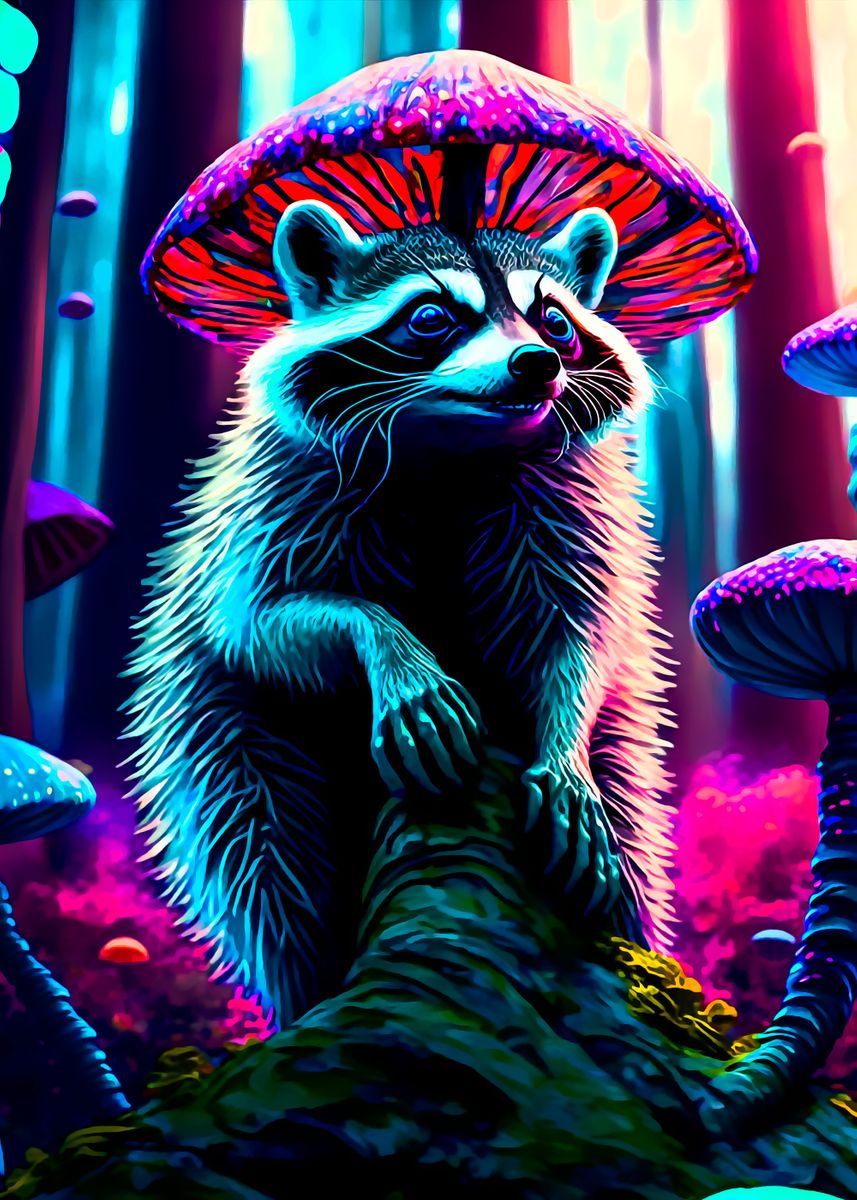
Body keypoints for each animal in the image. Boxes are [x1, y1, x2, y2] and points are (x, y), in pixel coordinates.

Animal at [125, 199, 674, 1025]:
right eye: (430, 317)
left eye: (554, 323)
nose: (535, 364)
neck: (454, 447)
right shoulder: (281, 490)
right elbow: (258, 621)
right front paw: (390, 647)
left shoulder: (571, 499)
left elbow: (578, 634)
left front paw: (562, 744)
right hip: (228, 738)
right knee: (268, 858)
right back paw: (306, 978)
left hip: (626, 769)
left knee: (630, 839)